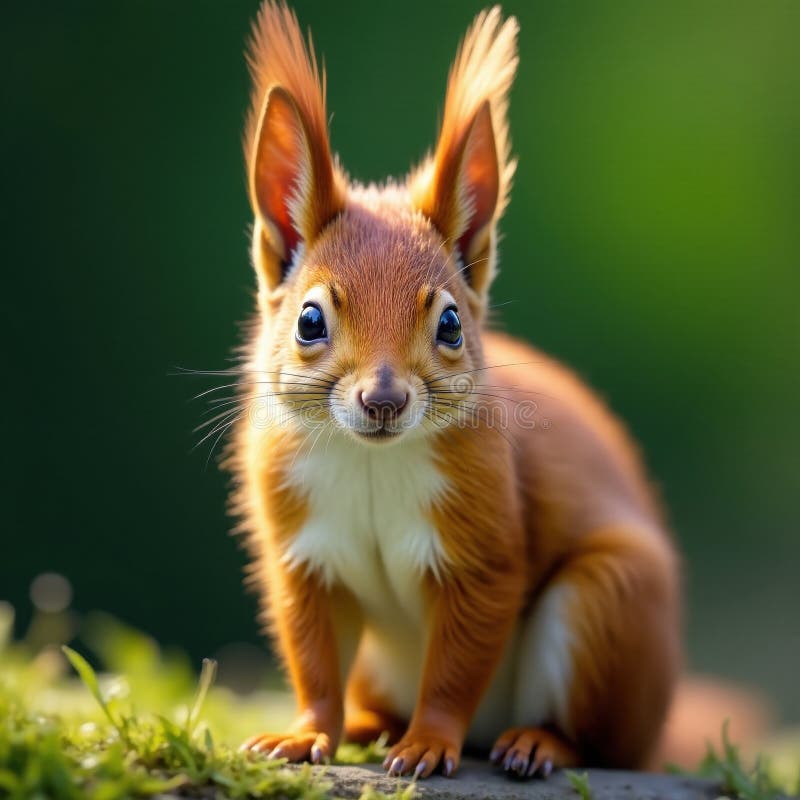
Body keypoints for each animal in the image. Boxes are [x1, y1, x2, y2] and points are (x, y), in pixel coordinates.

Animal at [227, 1, 683, 780]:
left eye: (448, 323)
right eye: (310, 320)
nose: (383, 401)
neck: (373, 460)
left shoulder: (484, 548)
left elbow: (456, 665)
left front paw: (427, 745)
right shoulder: (302, 556)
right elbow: (313, 660)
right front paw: (303, 734)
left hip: (610, 608)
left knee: (604, 743)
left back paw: (535, 744)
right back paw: (373, 724)